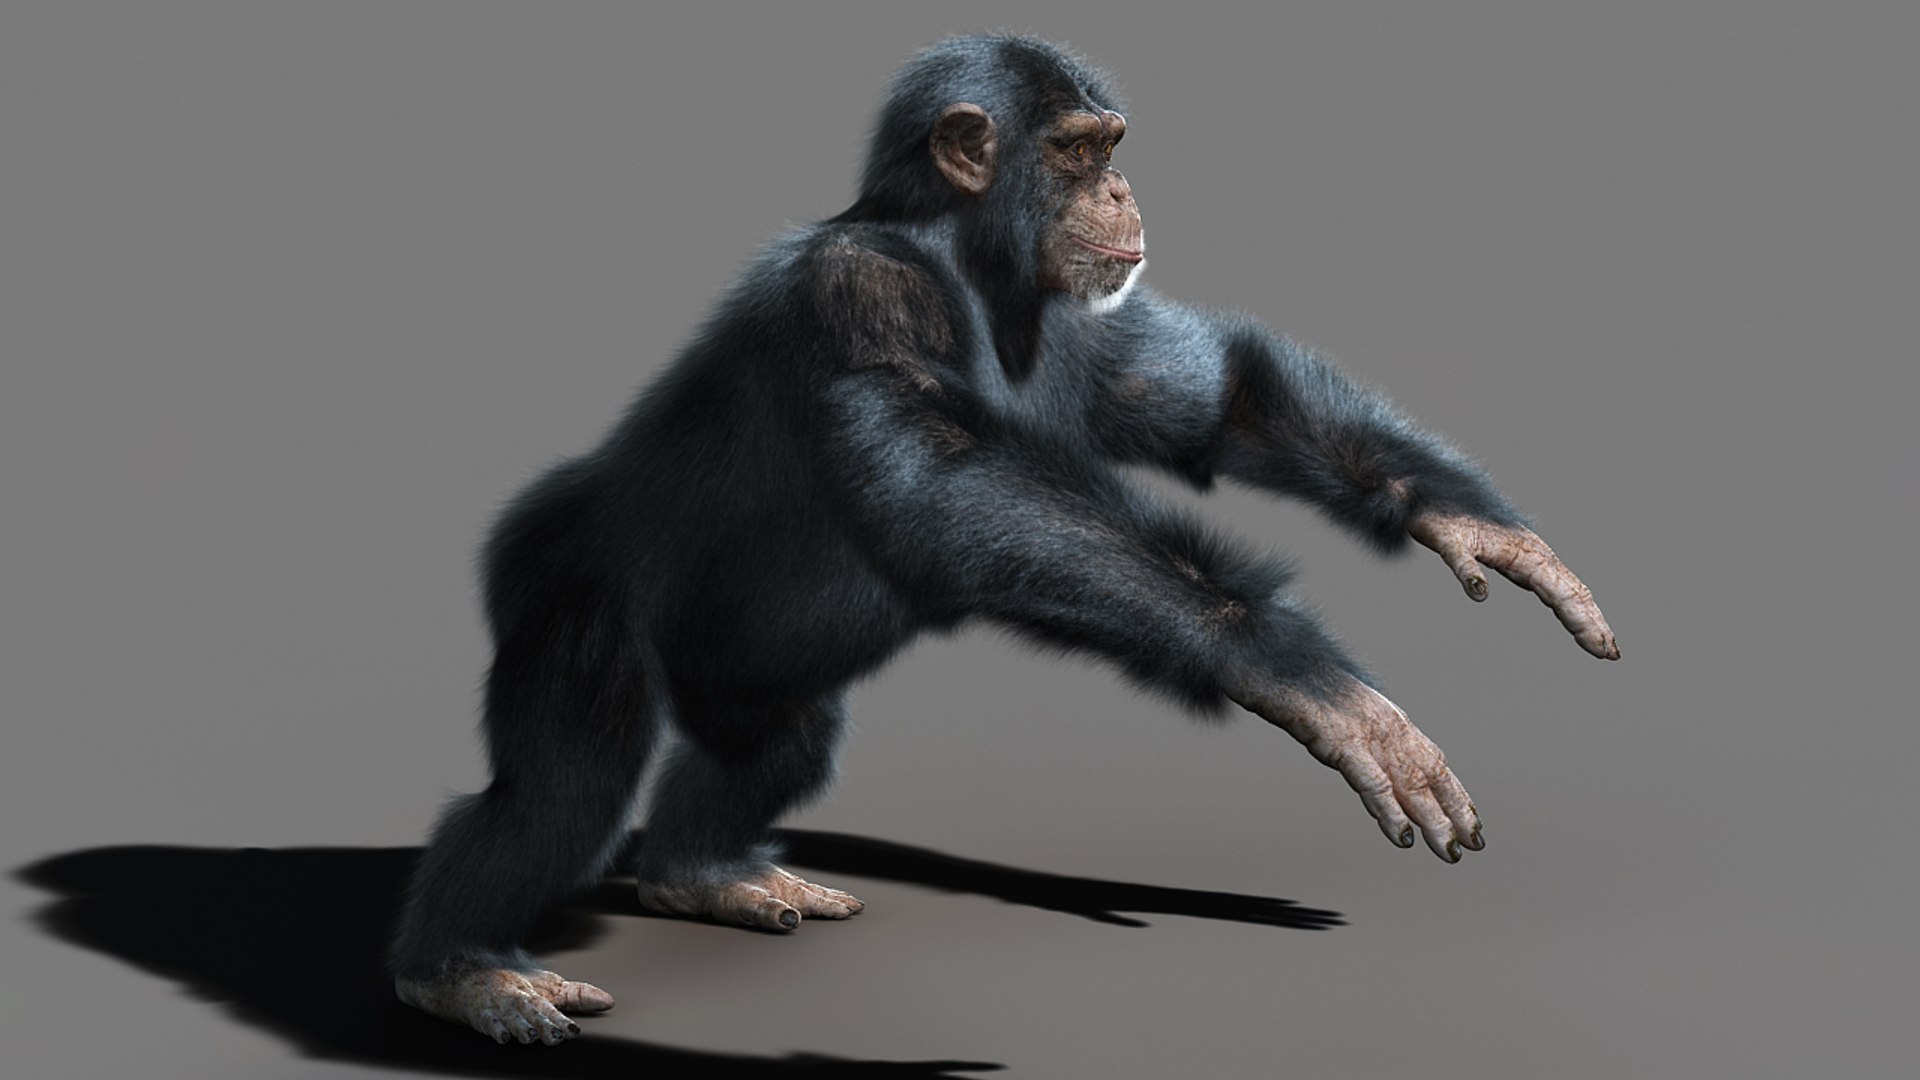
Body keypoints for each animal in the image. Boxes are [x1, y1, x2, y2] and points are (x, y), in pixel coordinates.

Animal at [388, 34, 1619, 1045]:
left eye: (1109, 146)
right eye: (1077, 151)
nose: (1122, 185)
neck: (969, 260)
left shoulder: (1091, 327)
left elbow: (1215, 401)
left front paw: (1470, 522)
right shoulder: (866, 296)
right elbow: (948, 482)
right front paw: (1310, 682)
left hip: (745, 684)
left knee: (779, 744)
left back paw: (708, 874)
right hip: (565, 594)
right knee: (561, 795)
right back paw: (463, 970)